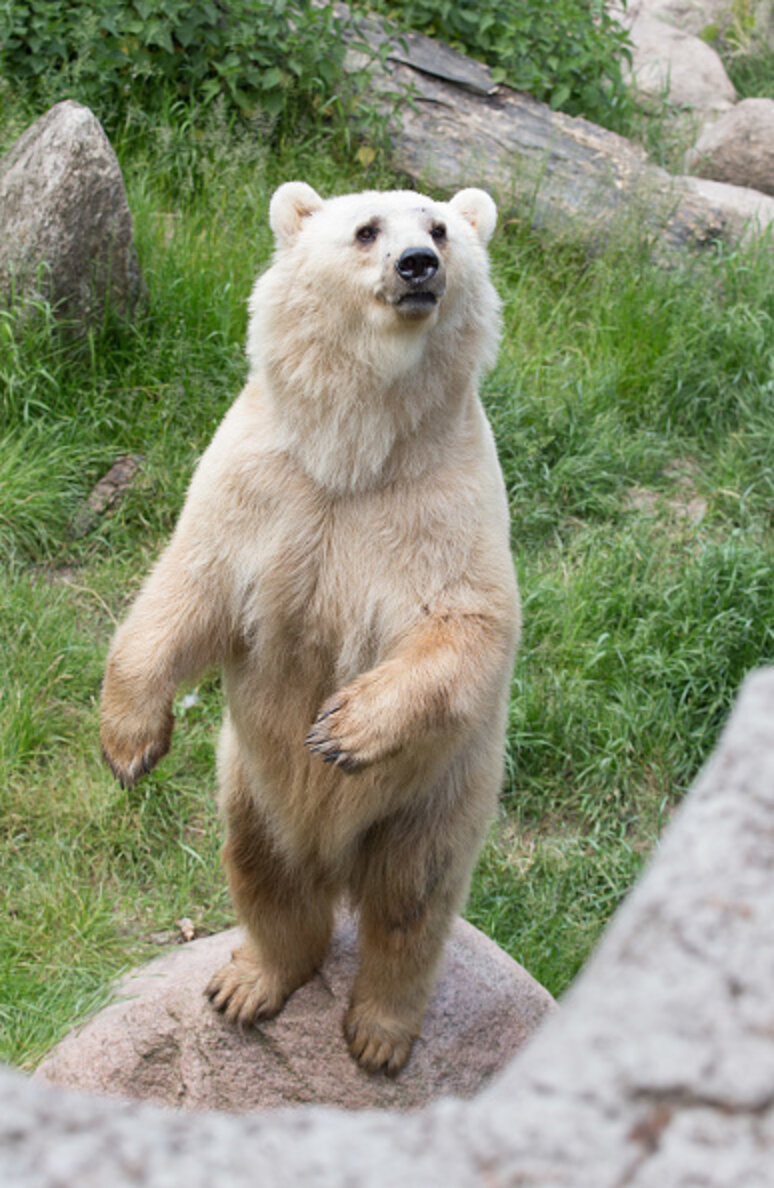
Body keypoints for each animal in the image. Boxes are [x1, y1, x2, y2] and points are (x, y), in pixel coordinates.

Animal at [100, 181, 521, 1074]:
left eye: (441, 228)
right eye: (366, 229)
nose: (418, 265)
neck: (355, 451)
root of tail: (335, 857)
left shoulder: (444, 497)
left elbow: (469, 624)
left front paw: (343, 728)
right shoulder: (261, 479)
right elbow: (187, 587)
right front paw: (129, 747)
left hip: (437, 795)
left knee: (410, 904)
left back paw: (379, 1033)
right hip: (247, 781)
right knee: (263, 870)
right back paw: (249, 982)